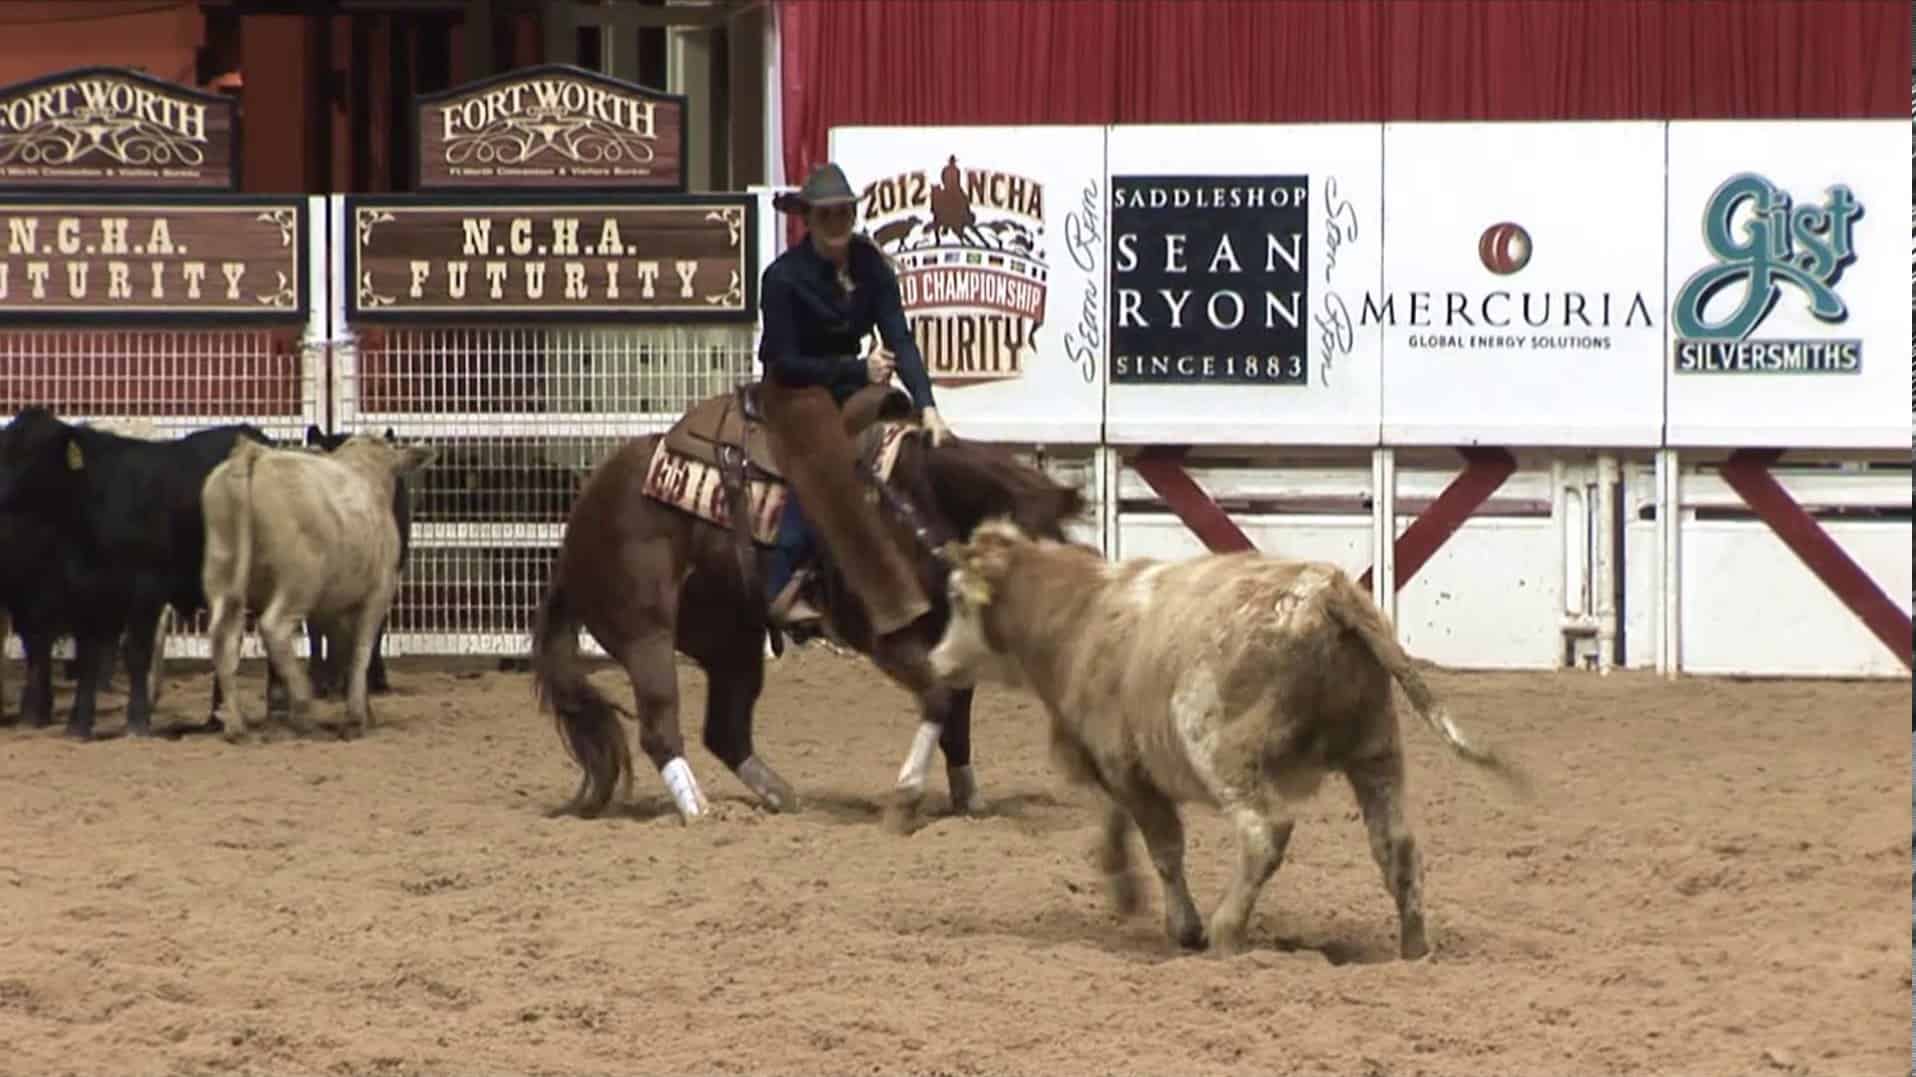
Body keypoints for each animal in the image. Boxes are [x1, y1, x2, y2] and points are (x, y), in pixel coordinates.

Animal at [529, 382, 1088, 829]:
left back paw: (780, 797)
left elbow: (957, 714)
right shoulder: (887, 639)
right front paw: (907, 795)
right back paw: (700, 811)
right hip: (645, 635)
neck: (913, 507)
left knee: (725, 731)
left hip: (731, 643)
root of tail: (580, 519)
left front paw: (970, 800)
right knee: (660, 727)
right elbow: (938, 698)